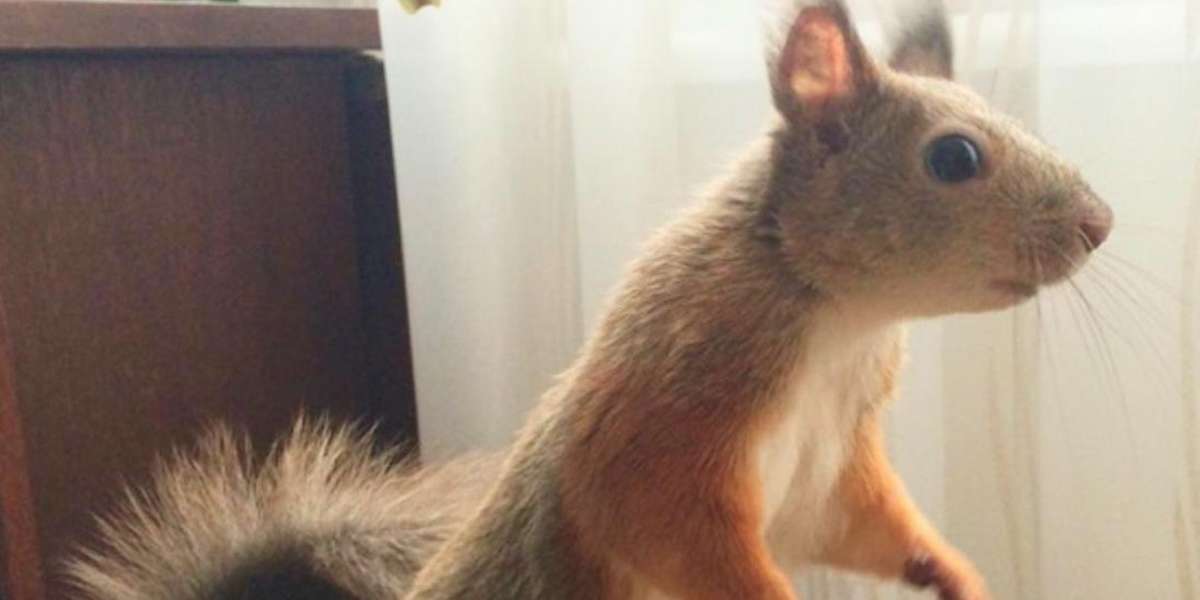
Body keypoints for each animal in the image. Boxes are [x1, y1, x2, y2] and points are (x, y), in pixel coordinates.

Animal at [69, 1, 1113, 599]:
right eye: (955, 158)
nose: (1101, 224)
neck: (838, 320)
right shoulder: (668, 417)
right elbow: (672, 528)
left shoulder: (827, 474)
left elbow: (859, 523)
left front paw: (956, 573)